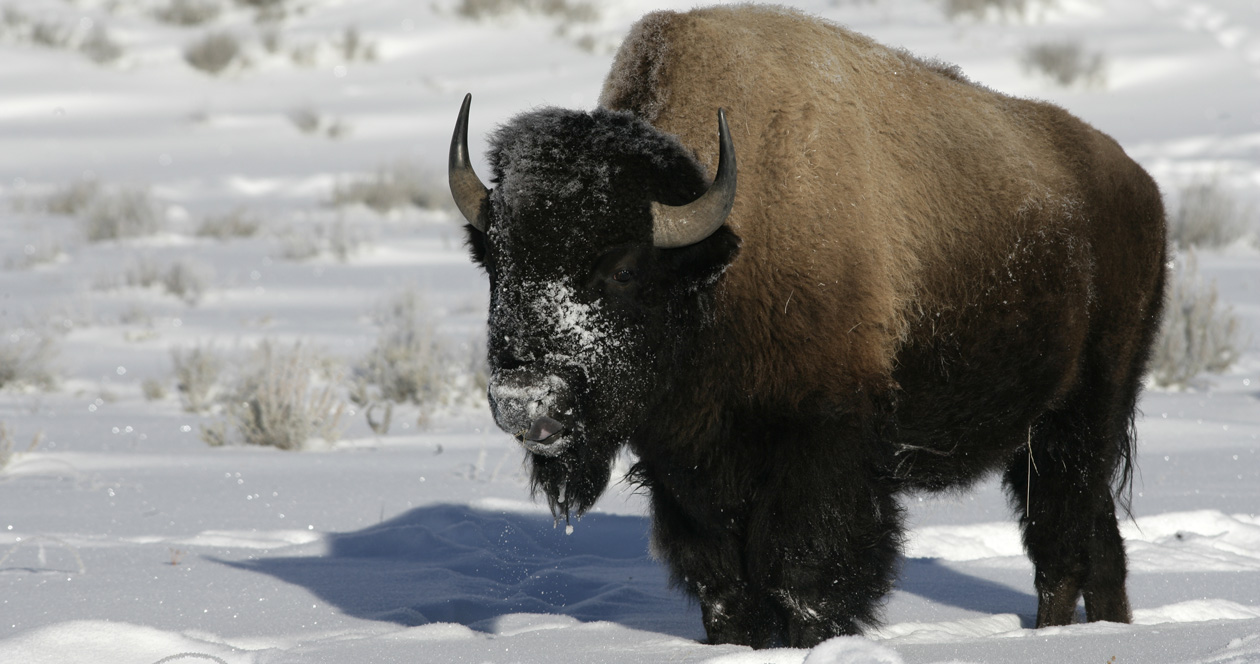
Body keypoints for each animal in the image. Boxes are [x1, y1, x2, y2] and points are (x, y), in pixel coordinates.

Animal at [448, 5, 1167, 649]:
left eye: (623, 268)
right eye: (494, 258)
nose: (525, 400)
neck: (719, 256)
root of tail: (1138, 185)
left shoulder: (822, 449)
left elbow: (805, 579)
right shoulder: (687, 470)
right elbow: (724, 588)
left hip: (1082, 417)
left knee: (1061, 546)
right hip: (1044, 437)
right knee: (1096, 543)